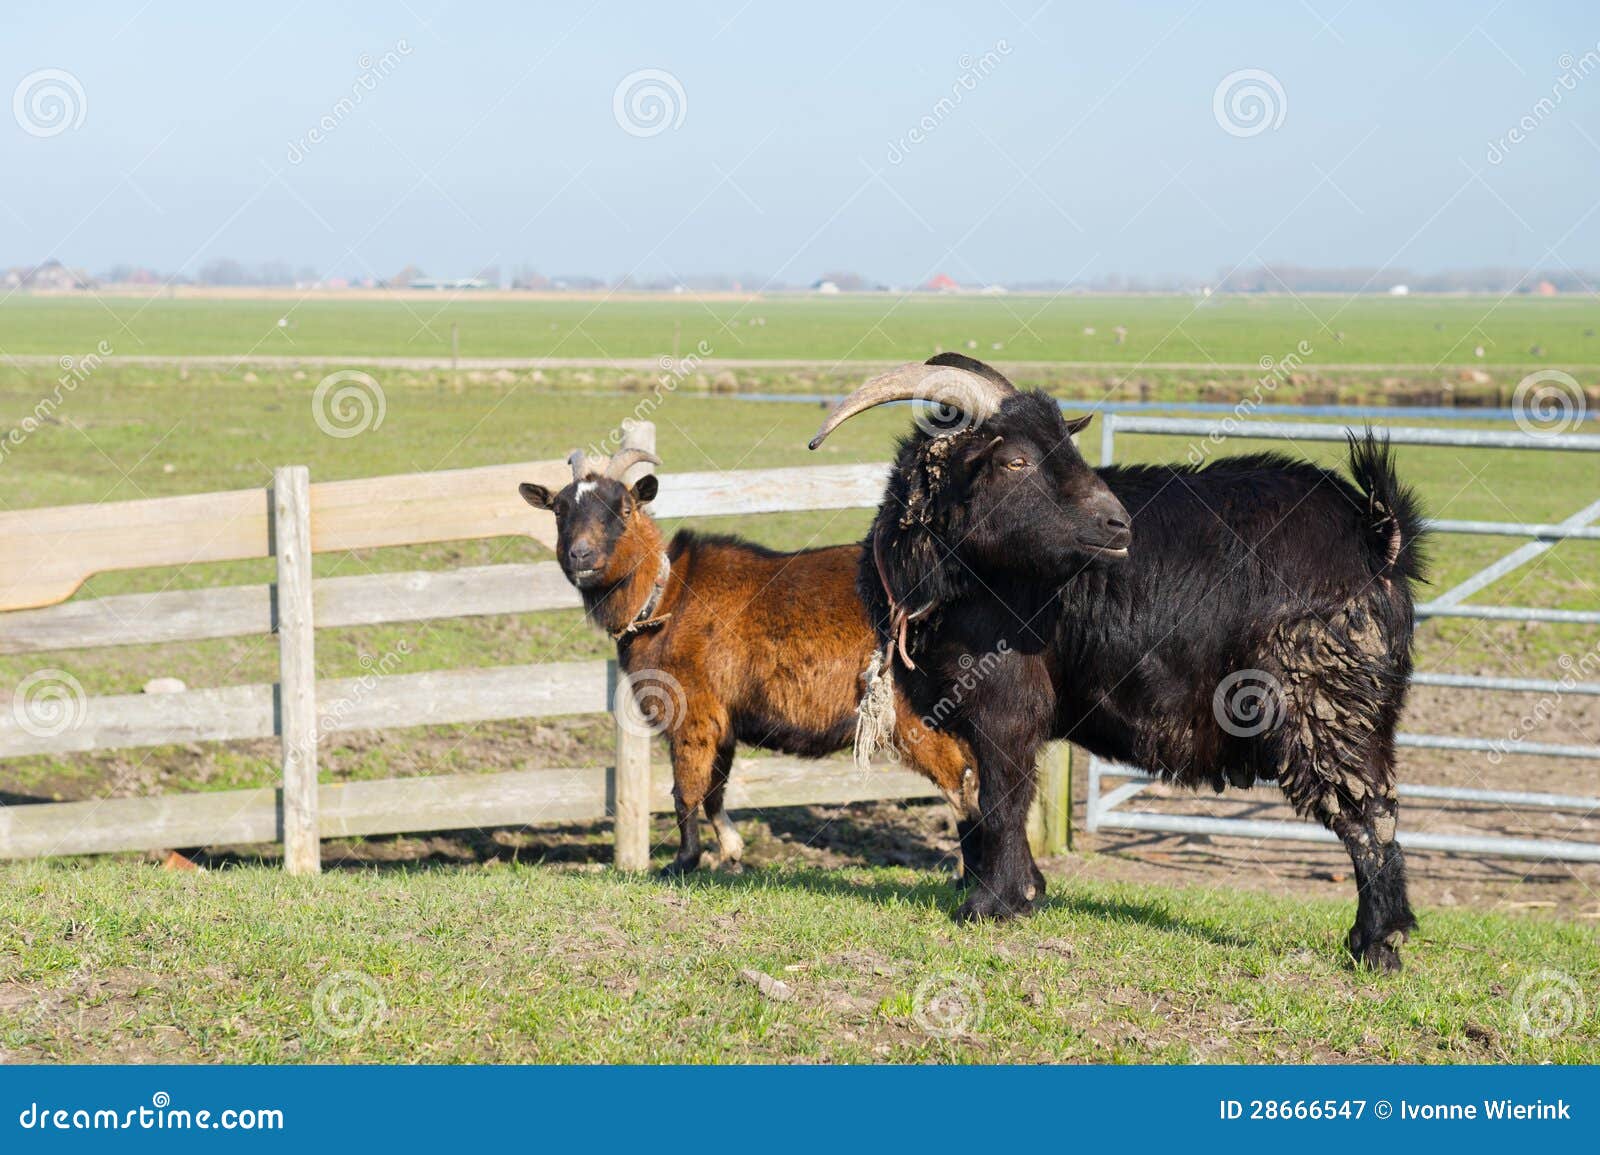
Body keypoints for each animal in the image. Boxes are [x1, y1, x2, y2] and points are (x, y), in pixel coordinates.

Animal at [518, 446, 980, 877]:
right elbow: (714, 790)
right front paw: (731, 851)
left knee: (961, 780)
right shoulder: (723, 720)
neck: (666, 598)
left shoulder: (692, 711)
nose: (581, 556)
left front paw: (683, 862)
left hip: (915, 714)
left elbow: (685, 791)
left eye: (626, 509)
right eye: (559, 510)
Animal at [811, 354, 1428, 972]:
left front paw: (991, 905)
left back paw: (1378, 943)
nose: (1119, 524)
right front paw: (1028, 892)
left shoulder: (1004, 705)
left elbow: (1002, 797)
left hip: (1324, 705)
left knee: (1369, 814)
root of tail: (1377, 536)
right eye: (1015, 459)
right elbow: (996, 794)